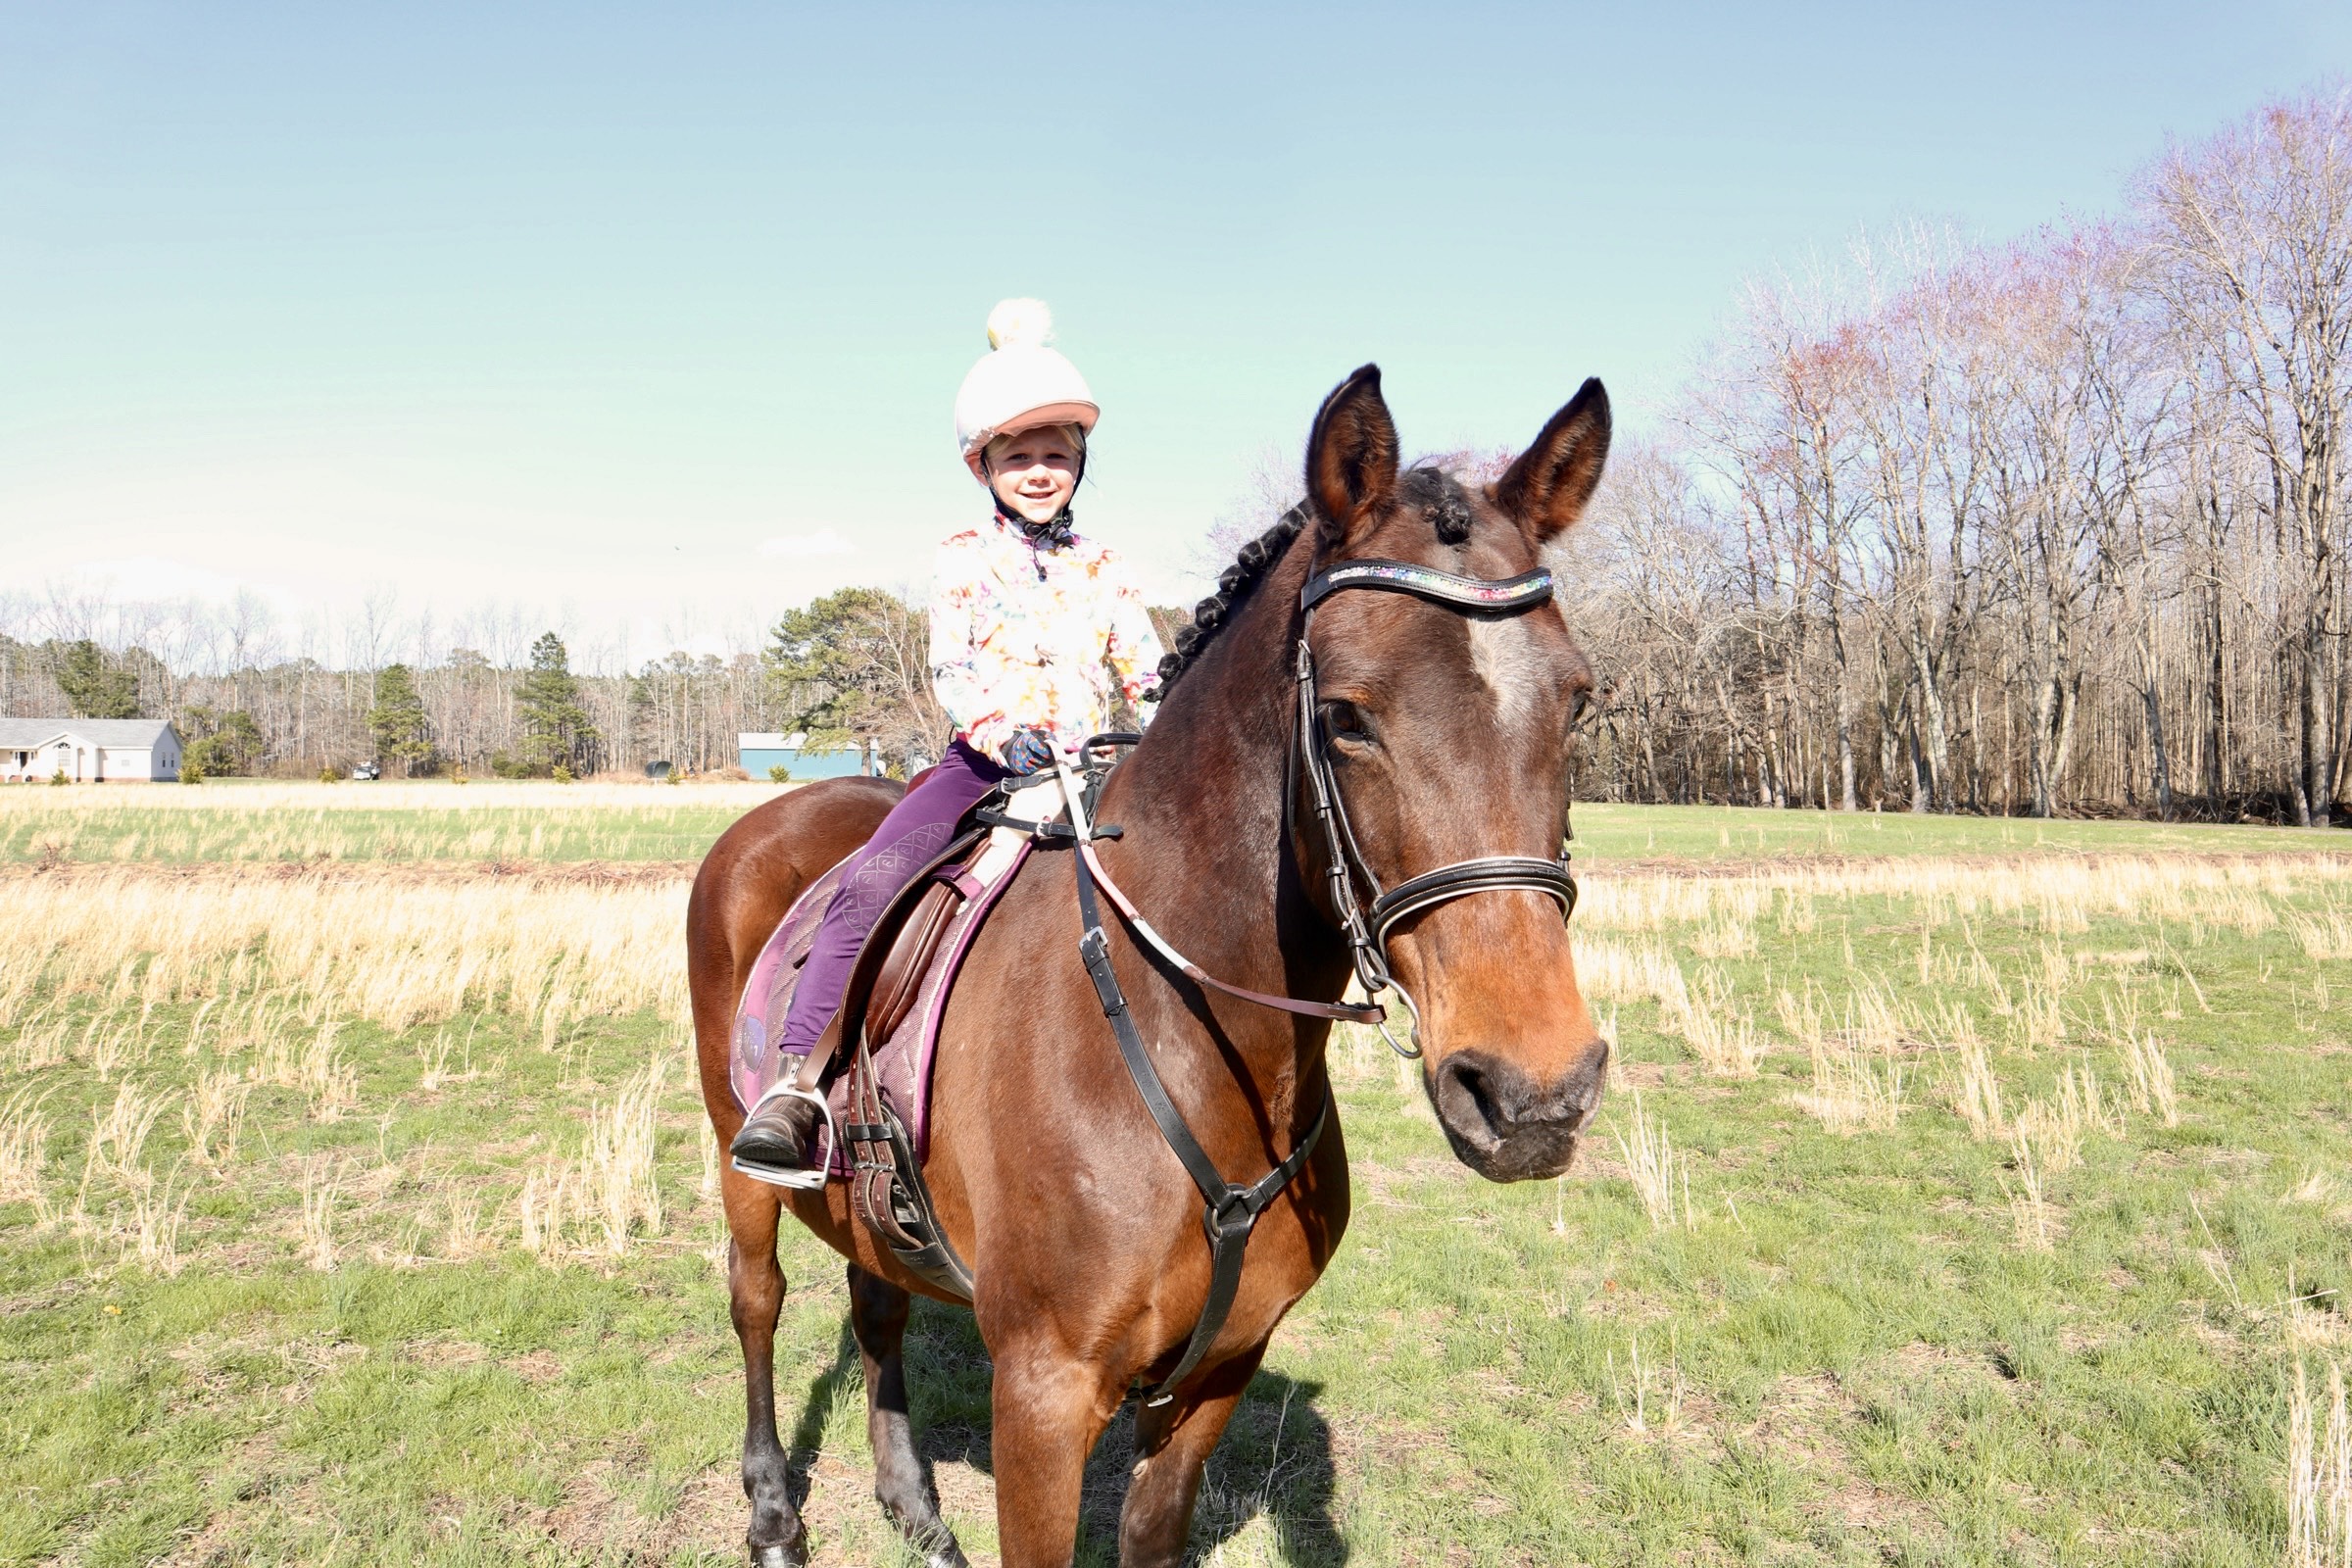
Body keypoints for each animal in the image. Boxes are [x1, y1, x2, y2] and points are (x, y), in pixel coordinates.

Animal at [688, 364, 1615, 1567]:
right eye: (1346, 716)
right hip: (740, 1160)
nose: (1530, 1094)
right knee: (756, 1299)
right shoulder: (1041, 1396)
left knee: (877, 1299)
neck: (1186, 1039)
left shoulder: (1216, 1374)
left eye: (1578, 700)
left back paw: (912, 1502)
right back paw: (770, 1512)